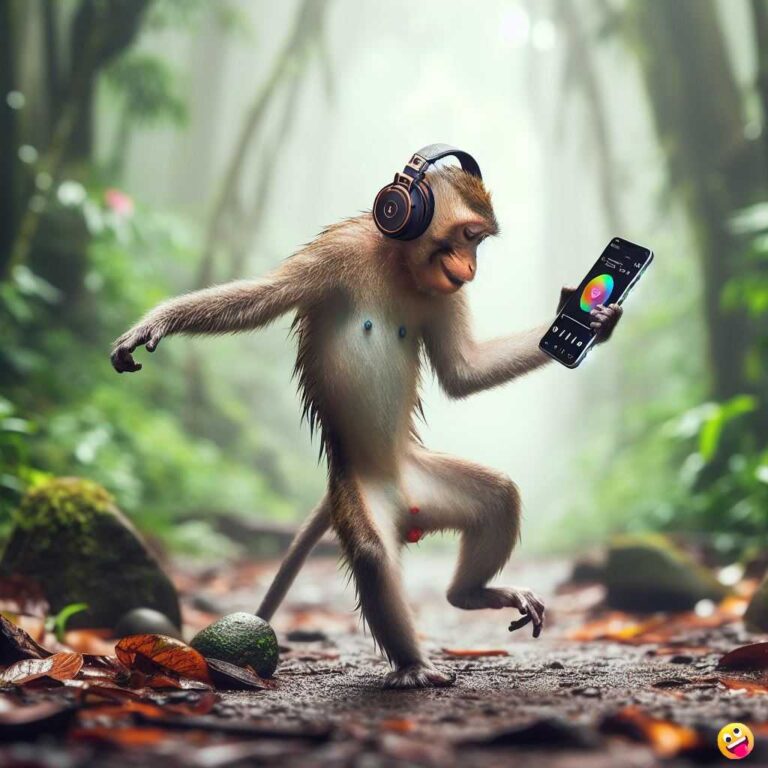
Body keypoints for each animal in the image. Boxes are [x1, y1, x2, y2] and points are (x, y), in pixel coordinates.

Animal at [111, 146, 622, 688]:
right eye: (469, 235)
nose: (470, 268)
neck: (397, 260)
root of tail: (408, 505)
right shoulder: (336, 251)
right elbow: (262, 297)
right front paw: (156, 321)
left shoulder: (446, 293)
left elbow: (463, 372)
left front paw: (596, 319)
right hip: (355, 492)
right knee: (375, 556)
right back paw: (415, 661)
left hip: (429, 481)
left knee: (498, 495)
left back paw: (468, 595)